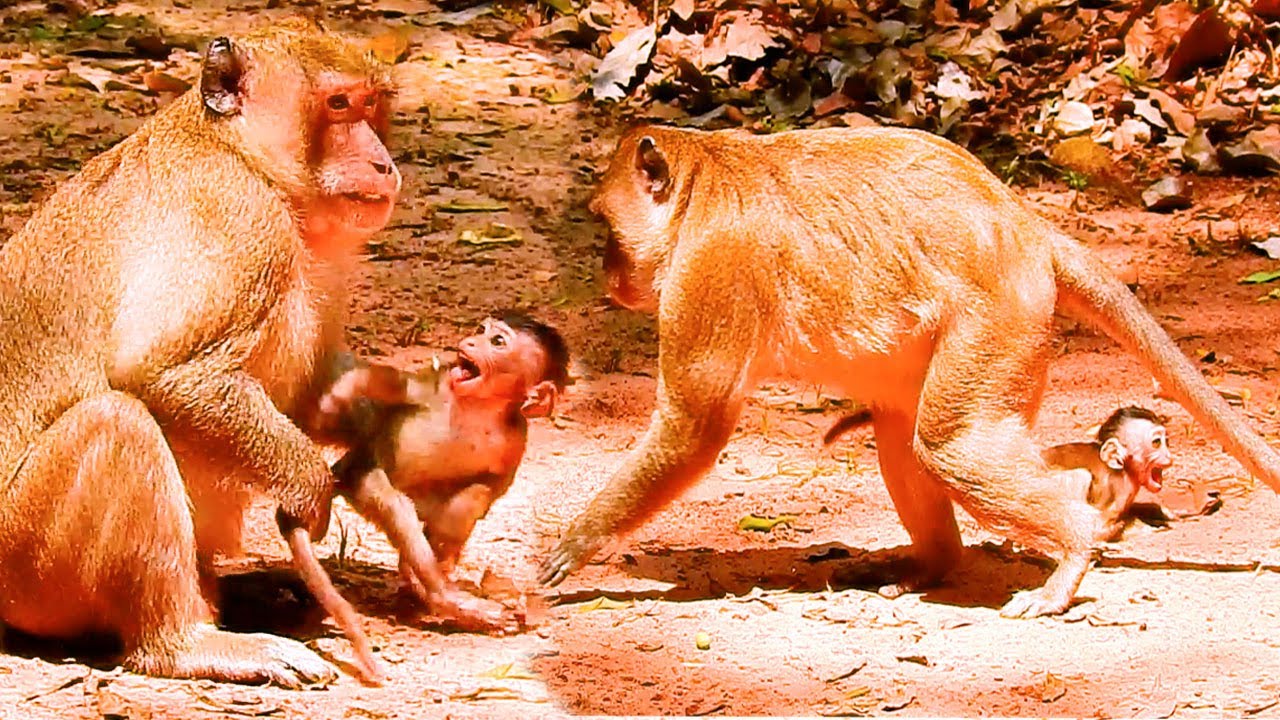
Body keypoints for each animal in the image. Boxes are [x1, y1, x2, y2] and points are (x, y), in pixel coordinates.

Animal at [0, 20, 405, 687]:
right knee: (119, 425)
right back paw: (185, 642)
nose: (382, 163)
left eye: (372, 105)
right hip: (25, 560)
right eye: (339, 104)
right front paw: (310, 488)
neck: (244, 155)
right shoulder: (240, 216)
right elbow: (160, 371)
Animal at [304, 313, 570, 631]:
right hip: (363, 473)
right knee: (390, 501)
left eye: (497, 341)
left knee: (469, 498)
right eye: (481, 330)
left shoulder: (516, 439)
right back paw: (439, 591)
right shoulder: (434, 385)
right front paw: (340, 393)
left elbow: (493, 485)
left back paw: (432, 583)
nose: (470, 342)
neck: (477, 407)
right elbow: (388, 385)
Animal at [537, 125, 1280, 621]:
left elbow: (696, 426)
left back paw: (1070, 552)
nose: (607, 273)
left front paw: (578, 543)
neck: (705, 182)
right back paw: (932, 565)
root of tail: (1027, 226)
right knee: (903, 436)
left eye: (606, 226)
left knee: (950, 446)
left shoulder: (713, 267)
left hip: (1000, 316)